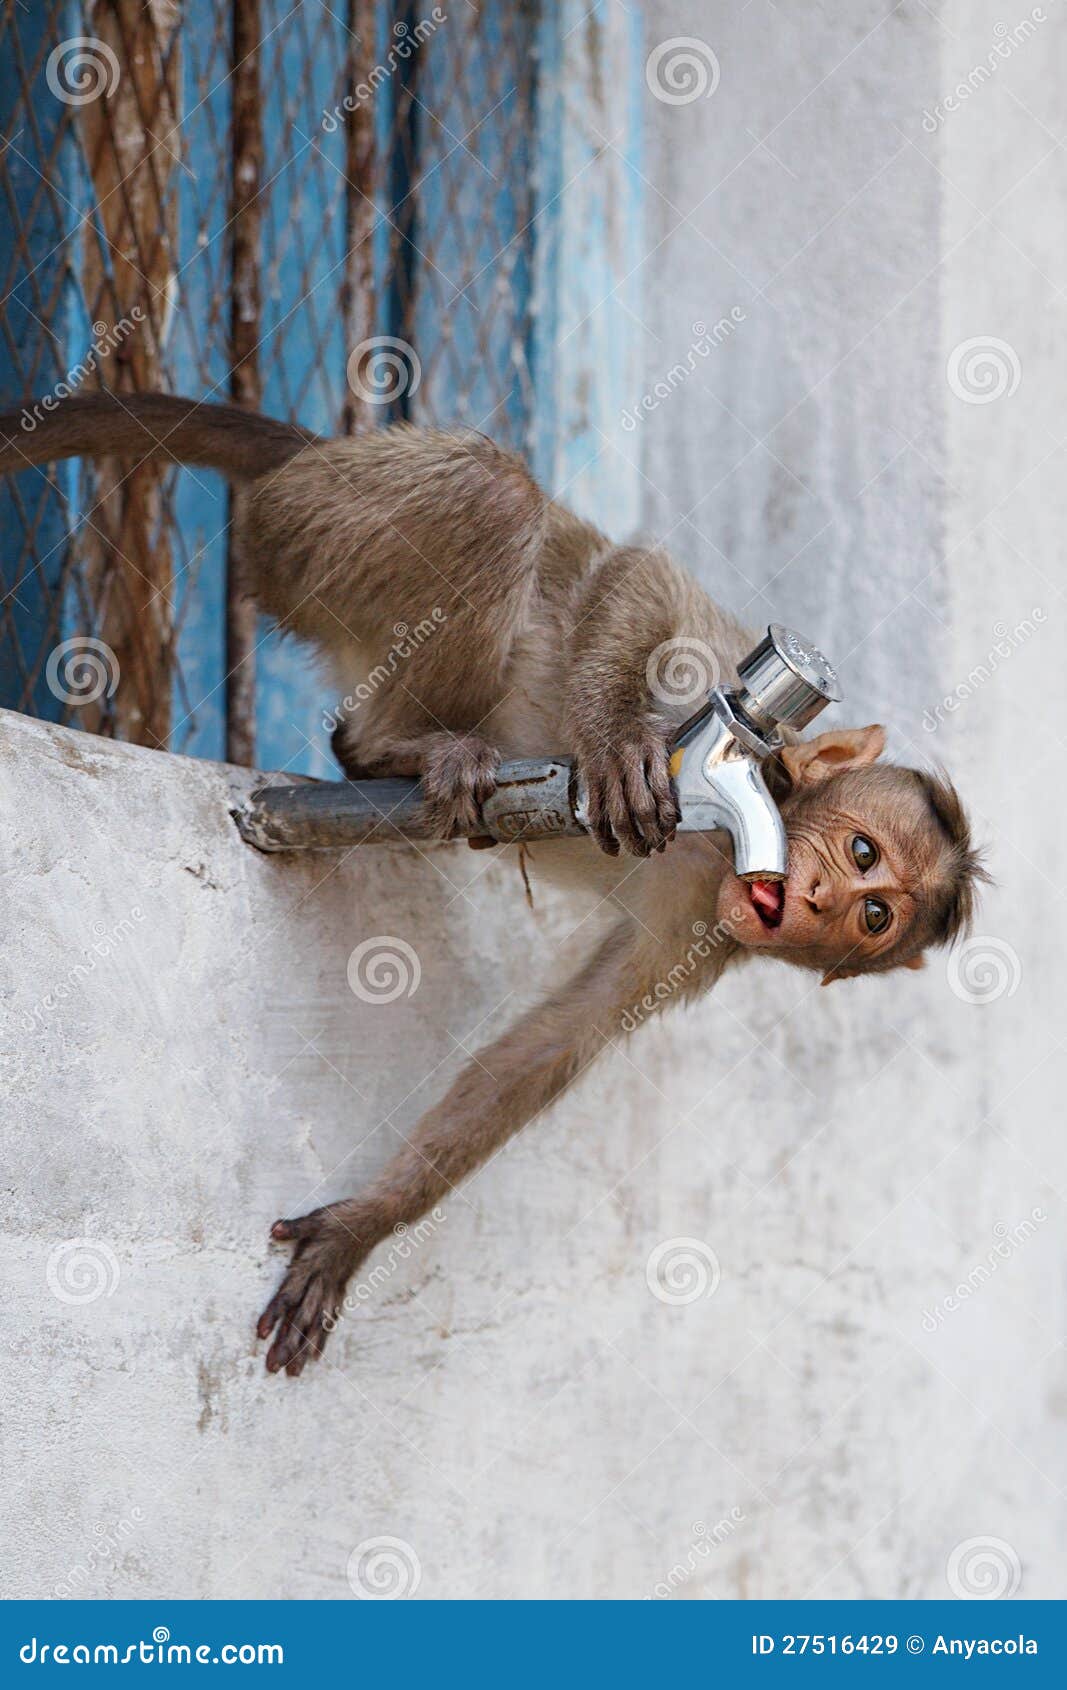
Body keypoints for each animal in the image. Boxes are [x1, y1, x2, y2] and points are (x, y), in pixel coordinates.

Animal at [1, 393, 987, 1377]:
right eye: (861, 854)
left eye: (871, 916)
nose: (819, 901)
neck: (710, 854)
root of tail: (322, 458)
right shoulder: (730, 701)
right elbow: (639, 578)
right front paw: (611, 740)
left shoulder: (703, 936)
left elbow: (549, 1047)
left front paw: (362, 1225)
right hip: (314, 526)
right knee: (497, 493)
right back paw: (391, 748)